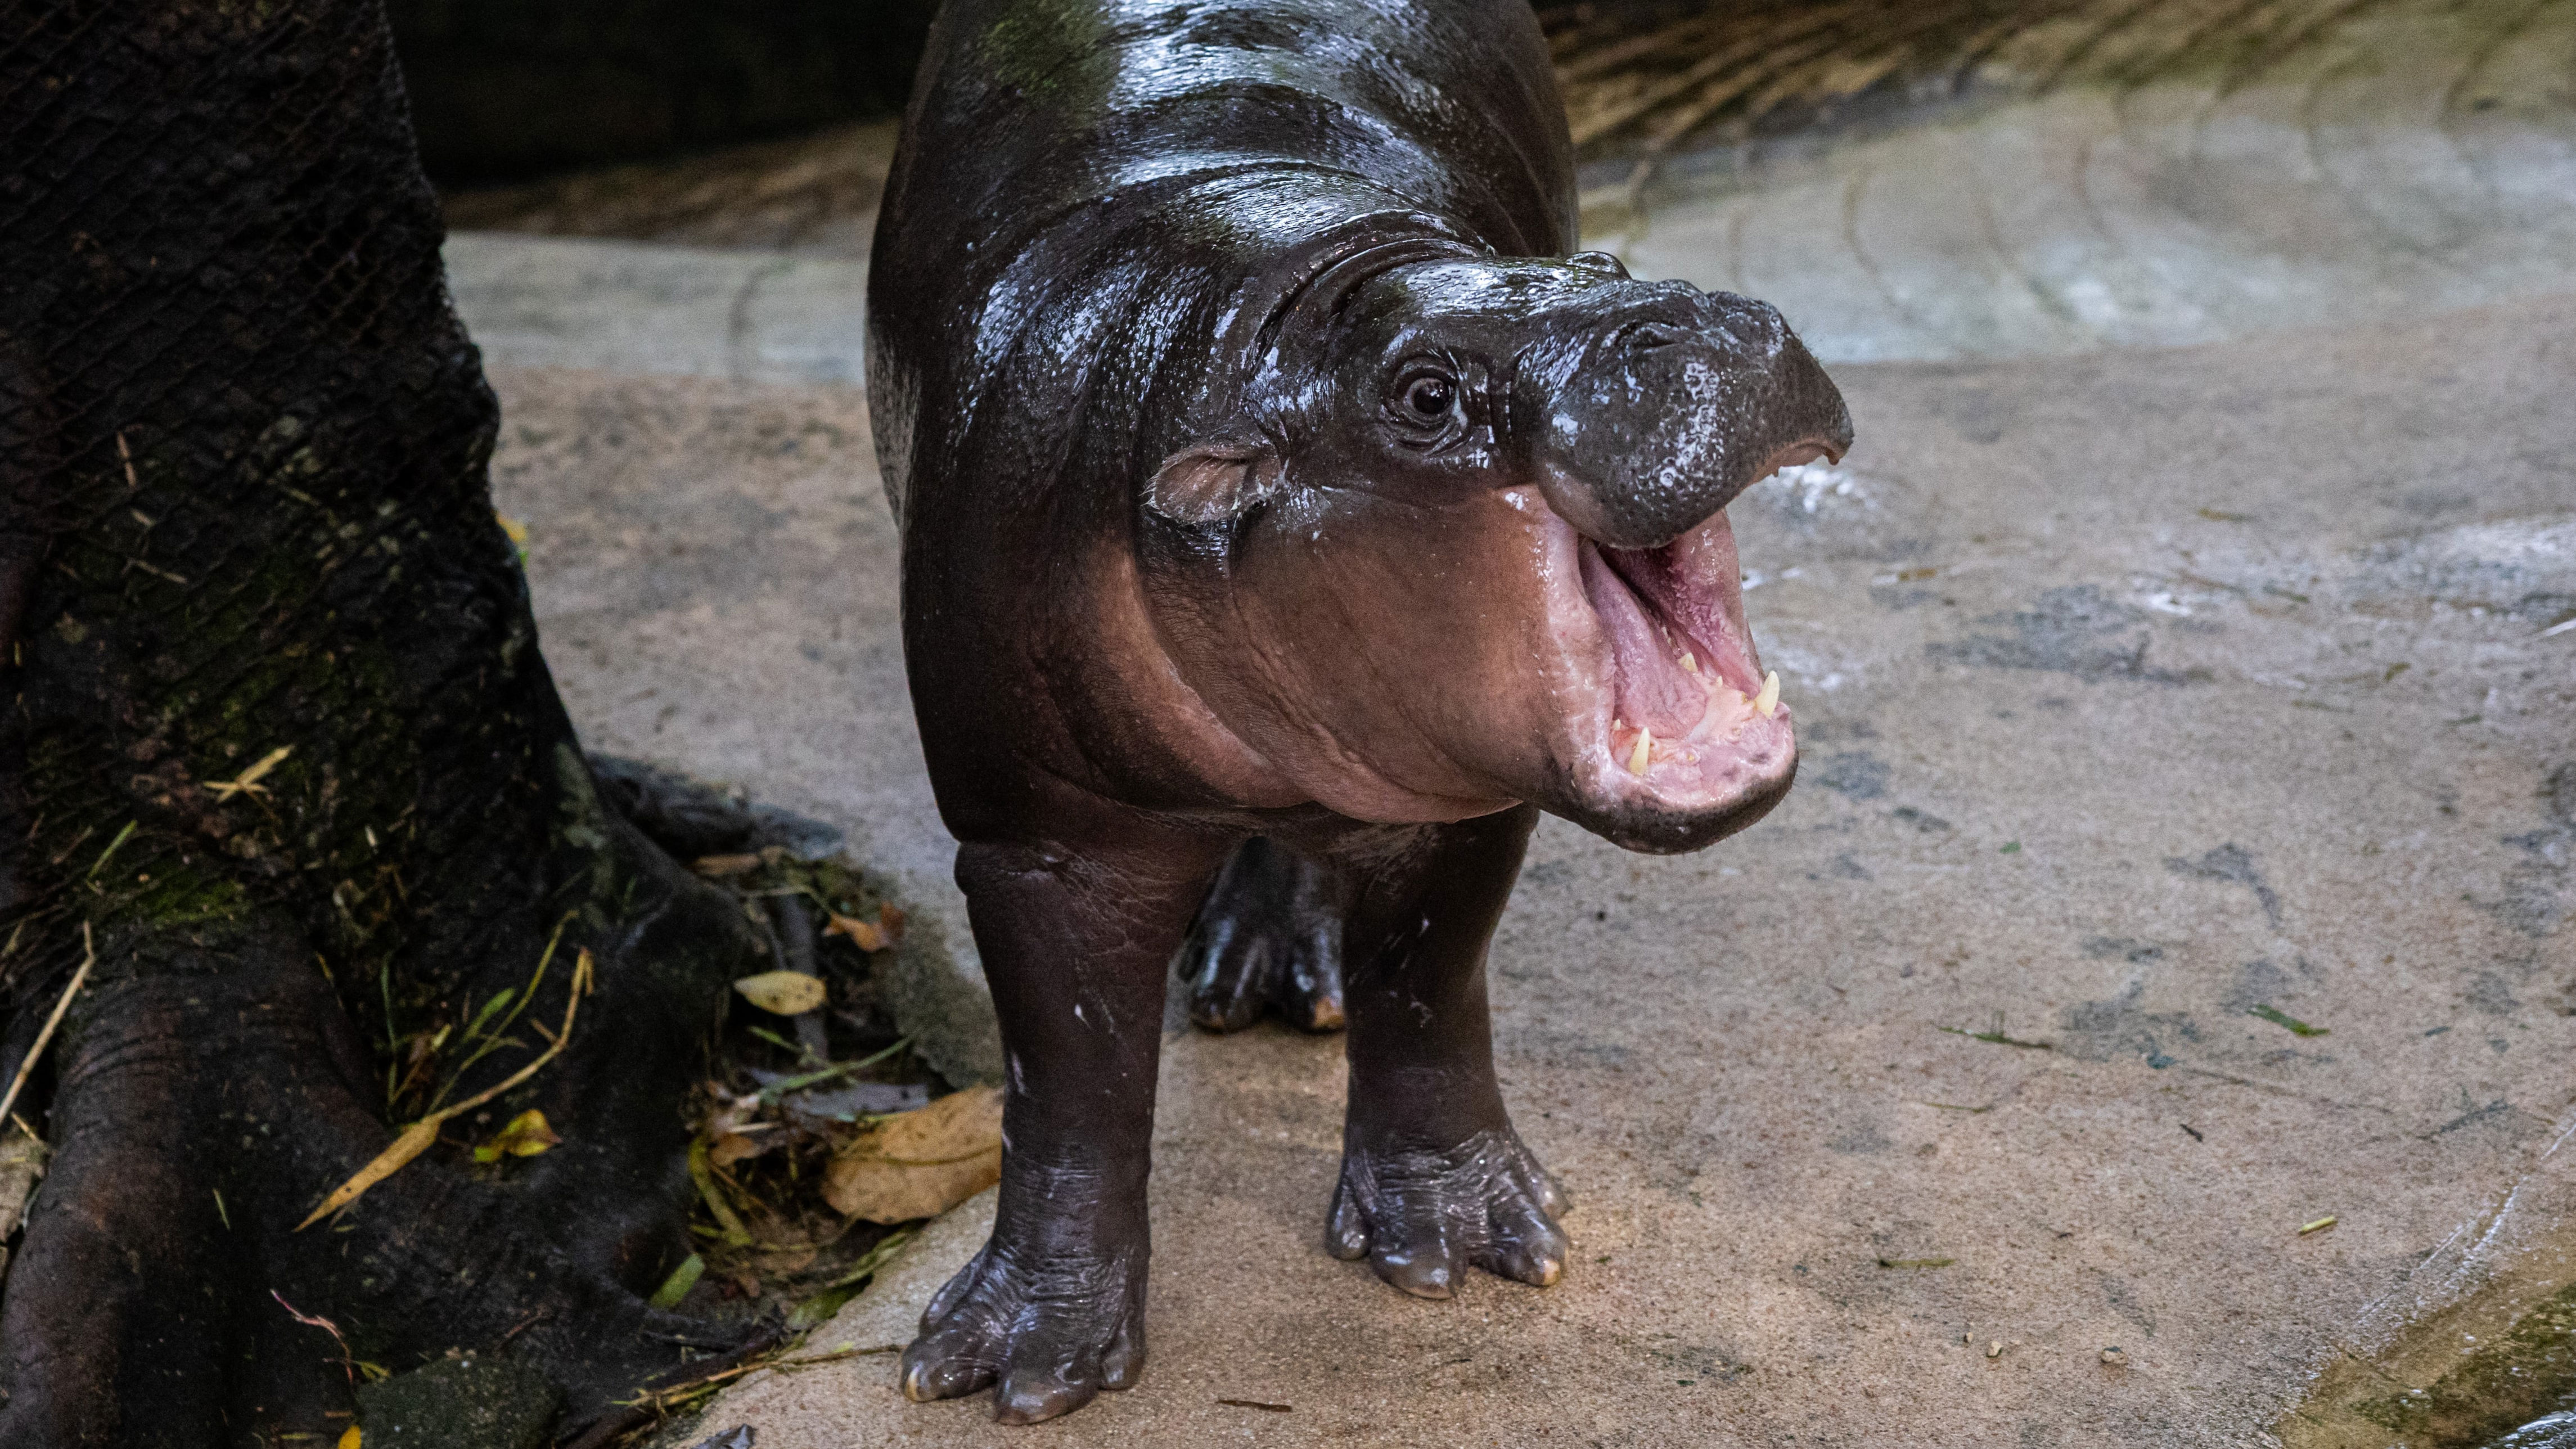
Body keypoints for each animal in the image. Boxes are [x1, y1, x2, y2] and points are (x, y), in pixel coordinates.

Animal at [866, 0, 1851, 1422]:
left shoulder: (1466, 788)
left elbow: (1428, 982)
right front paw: (1012, 1367)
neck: (1271, 313)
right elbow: (1066, 1082)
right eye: (1424, 396)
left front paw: (1469, 1241)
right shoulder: (1034, 836)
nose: (1712, 321)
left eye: (1601, 260)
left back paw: (1282, 972)